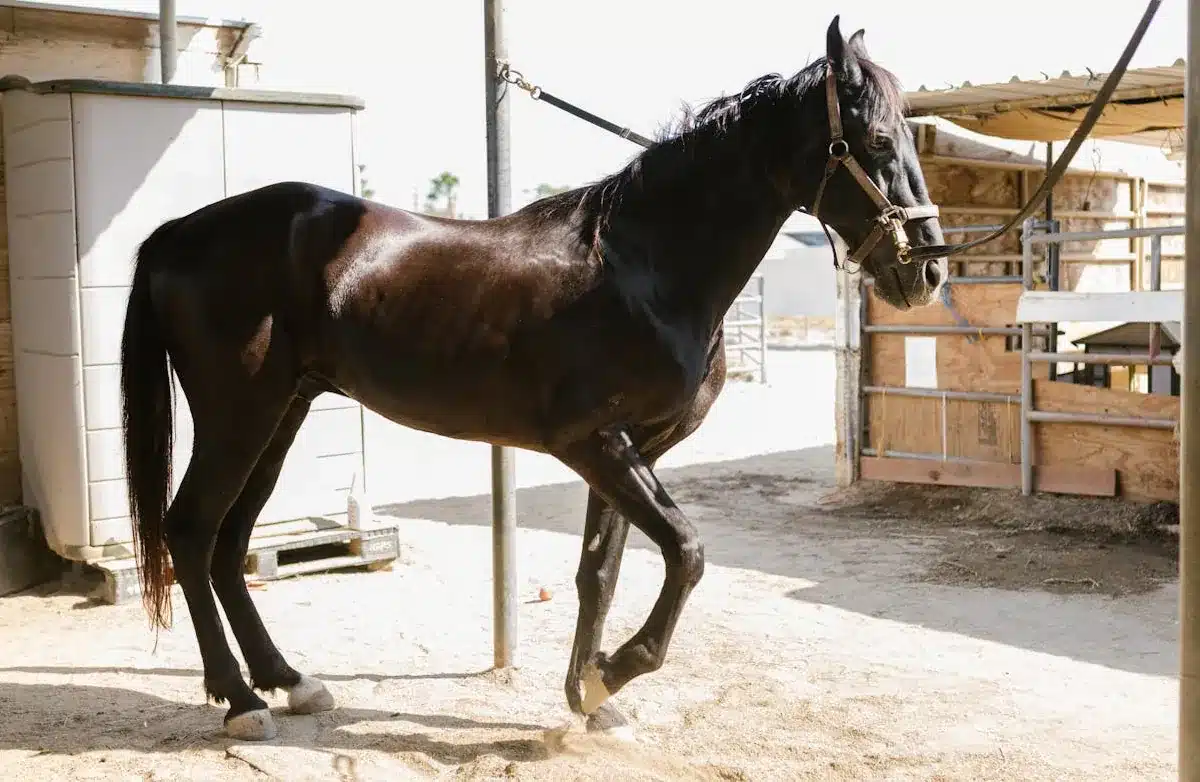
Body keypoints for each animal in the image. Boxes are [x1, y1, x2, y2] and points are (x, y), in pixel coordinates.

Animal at [118, 16, 948, 741]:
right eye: (876, 140)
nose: (927, 269)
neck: (642, 266)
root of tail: (176, 233)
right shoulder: (595, 443)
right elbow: (685, 552)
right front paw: (614, 674)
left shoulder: (634, 449)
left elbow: (600, 572)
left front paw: (590, 697)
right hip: (239, 416)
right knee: (192, 530)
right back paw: (238, 702)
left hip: (283, 414)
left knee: (230, 543)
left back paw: (289, 682)